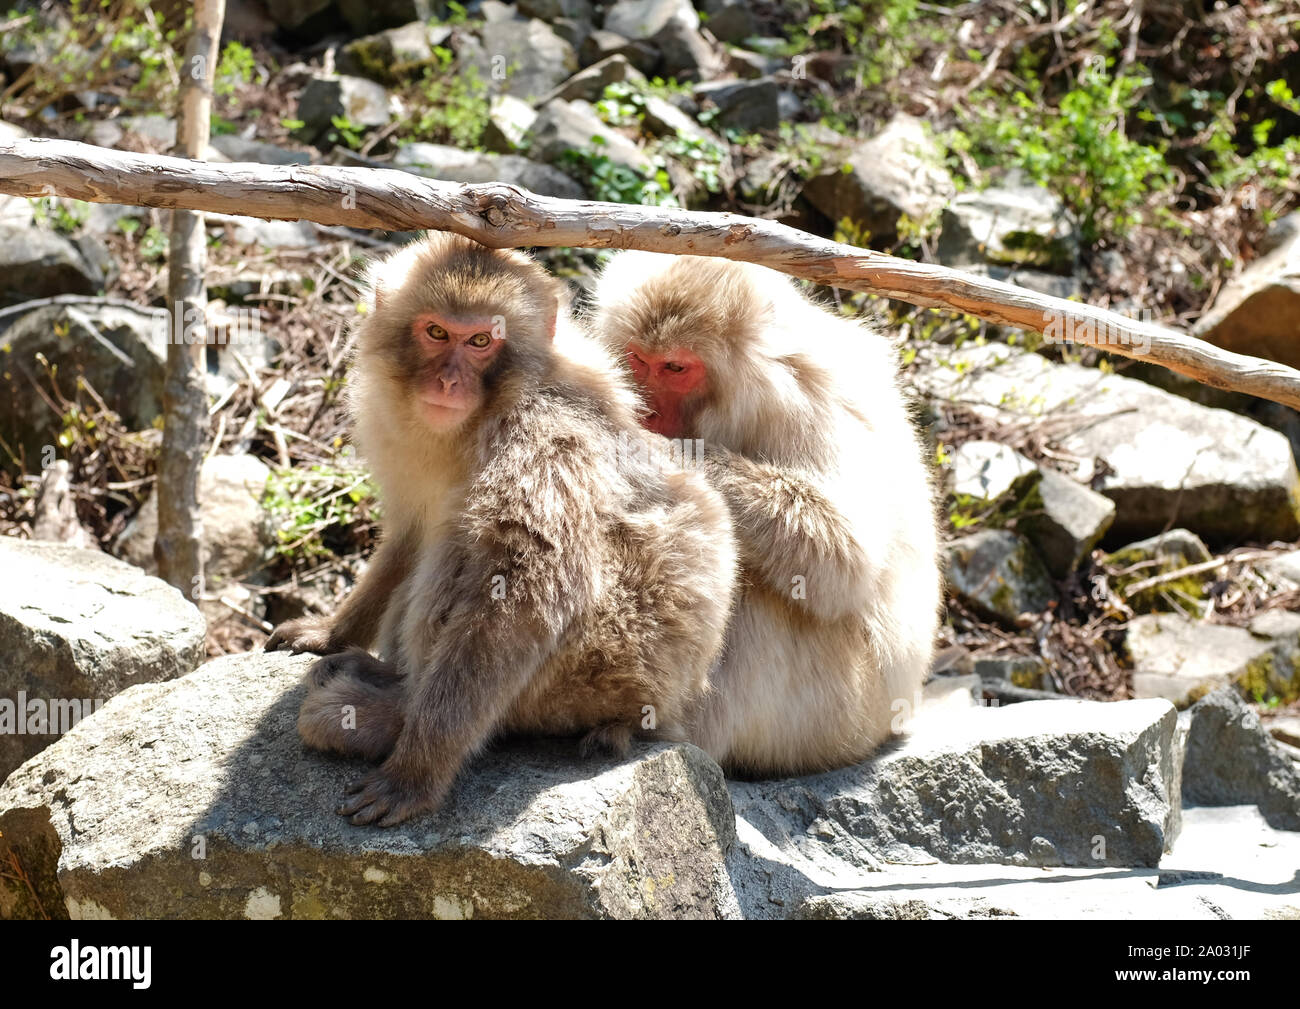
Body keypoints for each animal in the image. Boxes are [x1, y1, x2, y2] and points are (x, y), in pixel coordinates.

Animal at [266, 233, 738, 826]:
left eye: (481, 341)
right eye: (437, 332)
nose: (449, 381)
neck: (477, 420)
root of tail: (664, 706)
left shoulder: (542, 437)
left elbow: (526, 588)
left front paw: (416, 773)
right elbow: (409, 536)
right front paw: (332, 630)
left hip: (597, 669)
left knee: (467, 554)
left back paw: (389, 714)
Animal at [589, 252, 942, 777]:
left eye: (675, 367)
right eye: (639, 360)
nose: (647, 411)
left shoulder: (807, 403)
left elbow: (845, 557)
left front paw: (664, 451)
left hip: (831, 717)